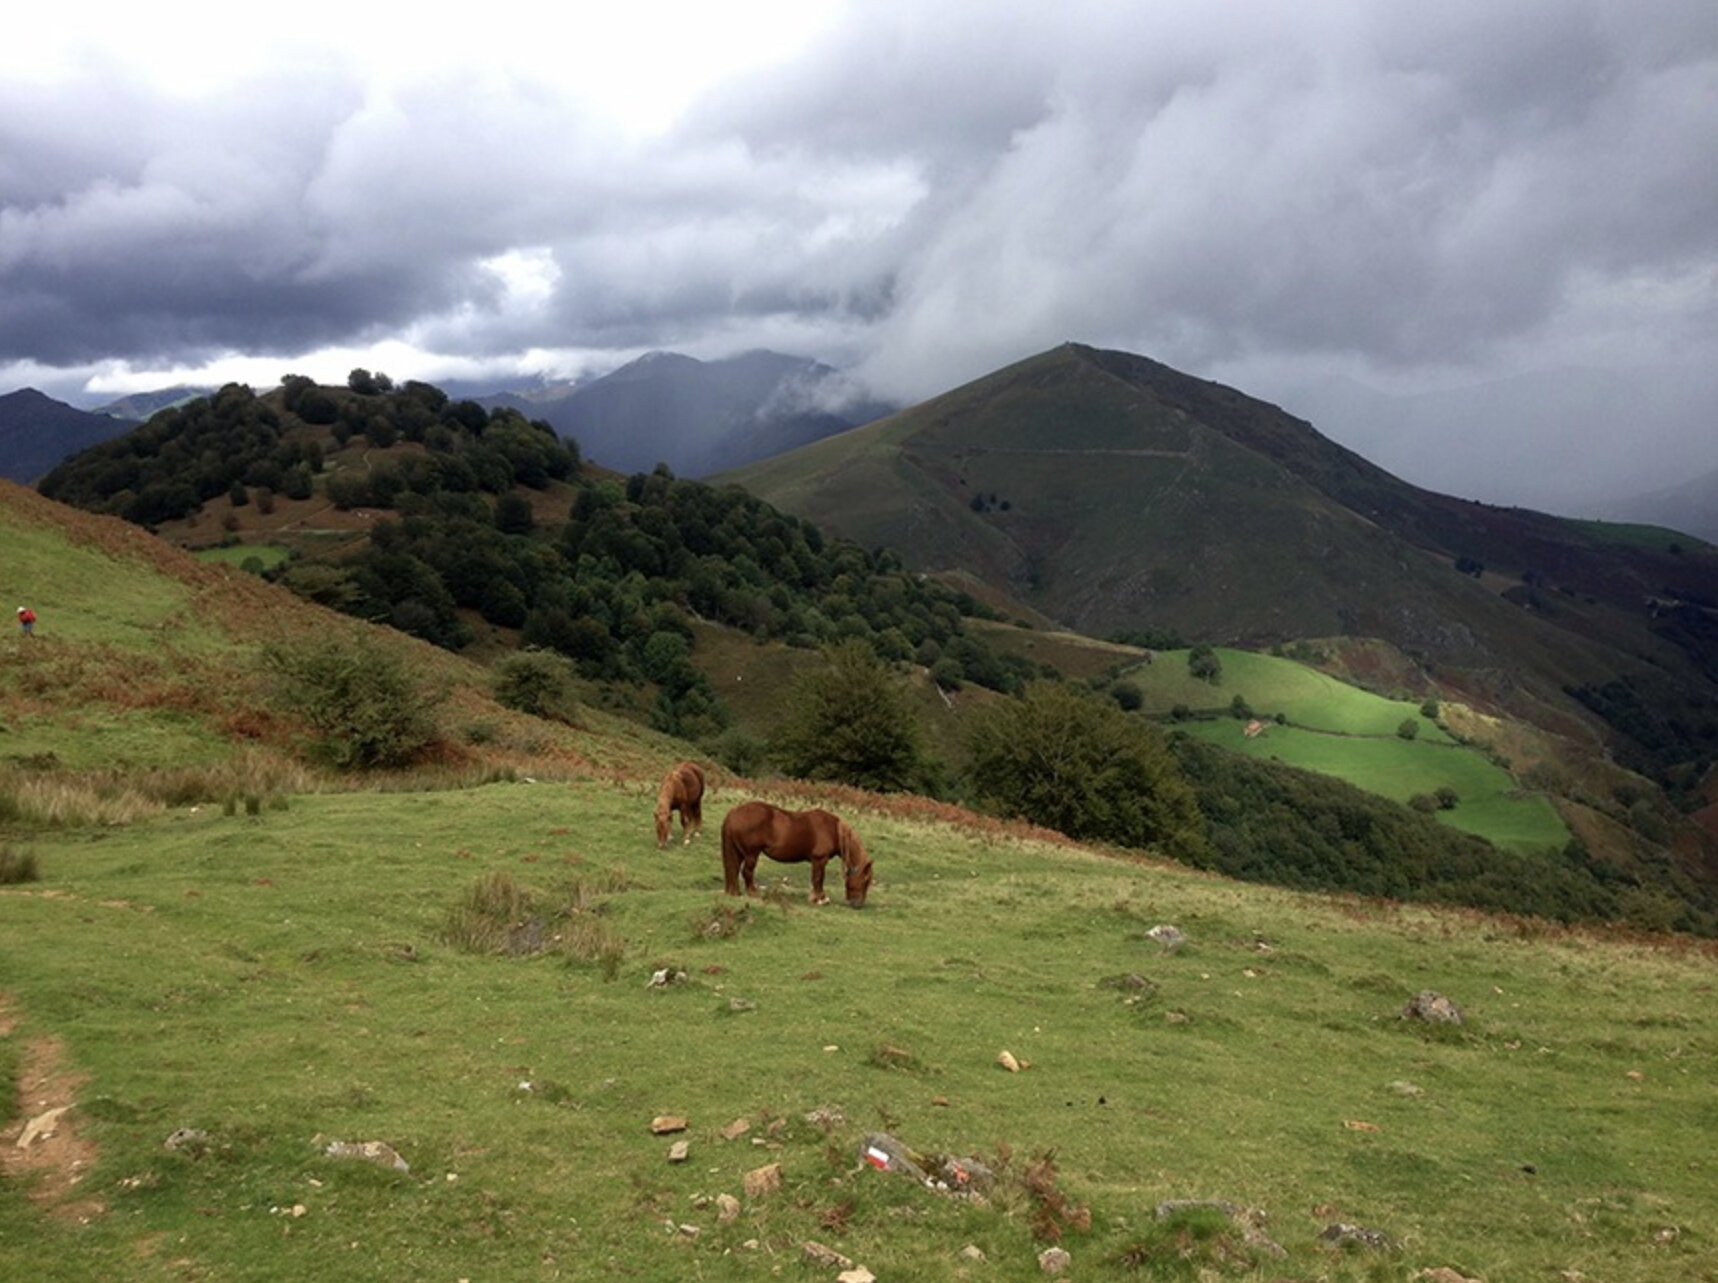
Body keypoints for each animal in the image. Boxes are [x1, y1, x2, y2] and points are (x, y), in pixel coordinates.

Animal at [719, 801, 873, 908]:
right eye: (865, 881)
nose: (858, 904)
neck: (834, 831)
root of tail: (734, 812)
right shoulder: (820, 860)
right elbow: (818, 879)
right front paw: (820, 899)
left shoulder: (817, 861)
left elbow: (815, 879)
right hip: (751, 854)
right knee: (746, 872)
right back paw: (754, 893)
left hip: (739, 853)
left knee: (734, 870)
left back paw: (736, 893)